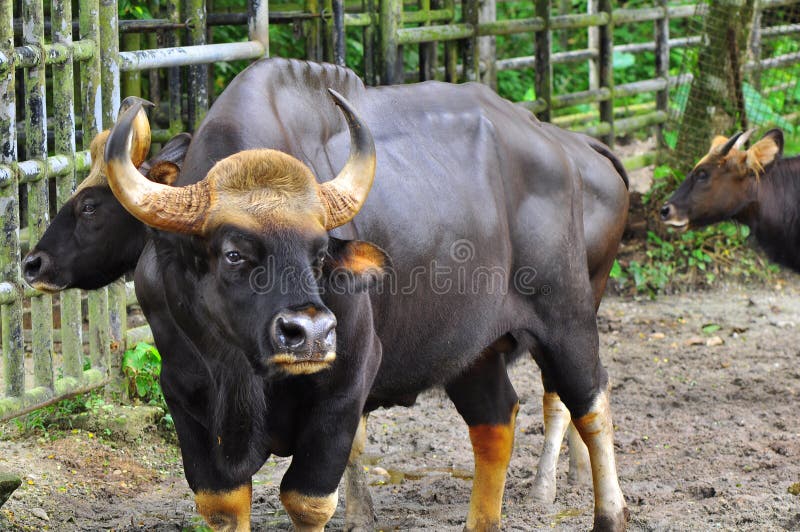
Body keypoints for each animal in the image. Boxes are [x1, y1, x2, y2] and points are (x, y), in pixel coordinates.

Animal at [101, 58, 629, 531]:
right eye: (234, 254)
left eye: (318, 254)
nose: (311, 334)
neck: (244, 373)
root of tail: (560, 147)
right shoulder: (184, 393)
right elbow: (223, 505)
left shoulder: (346, 383)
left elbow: (307, 501)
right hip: (469, 348)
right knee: (495, 419)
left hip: (567, 317)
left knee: (590, 401)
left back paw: (610, 514)